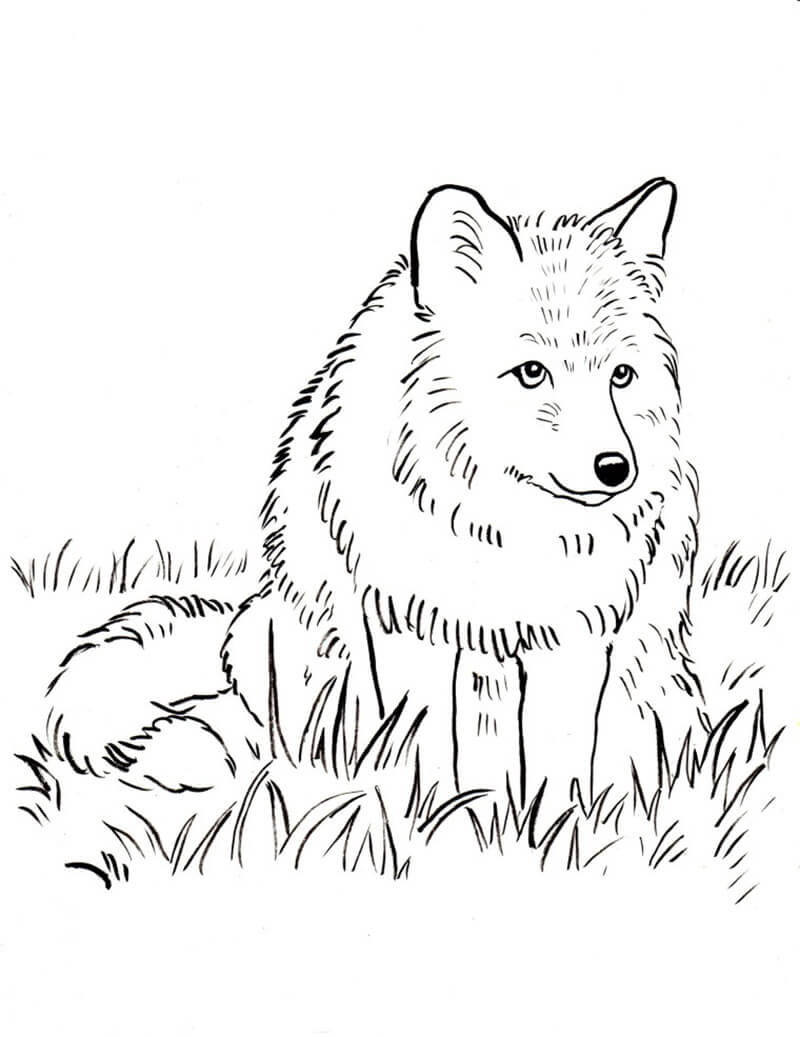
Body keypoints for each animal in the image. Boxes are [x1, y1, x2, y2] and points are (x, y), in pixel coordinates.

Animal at [36, 177, 703, 860]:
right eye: (531, 373)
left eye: (621, 376)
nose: (616, 469)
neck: (503, 532)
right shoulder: (408, 625)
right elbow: (427, 750)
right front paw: (435, 828)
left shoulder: (575, 637)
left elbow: (559, 760)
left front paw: (558, 834)